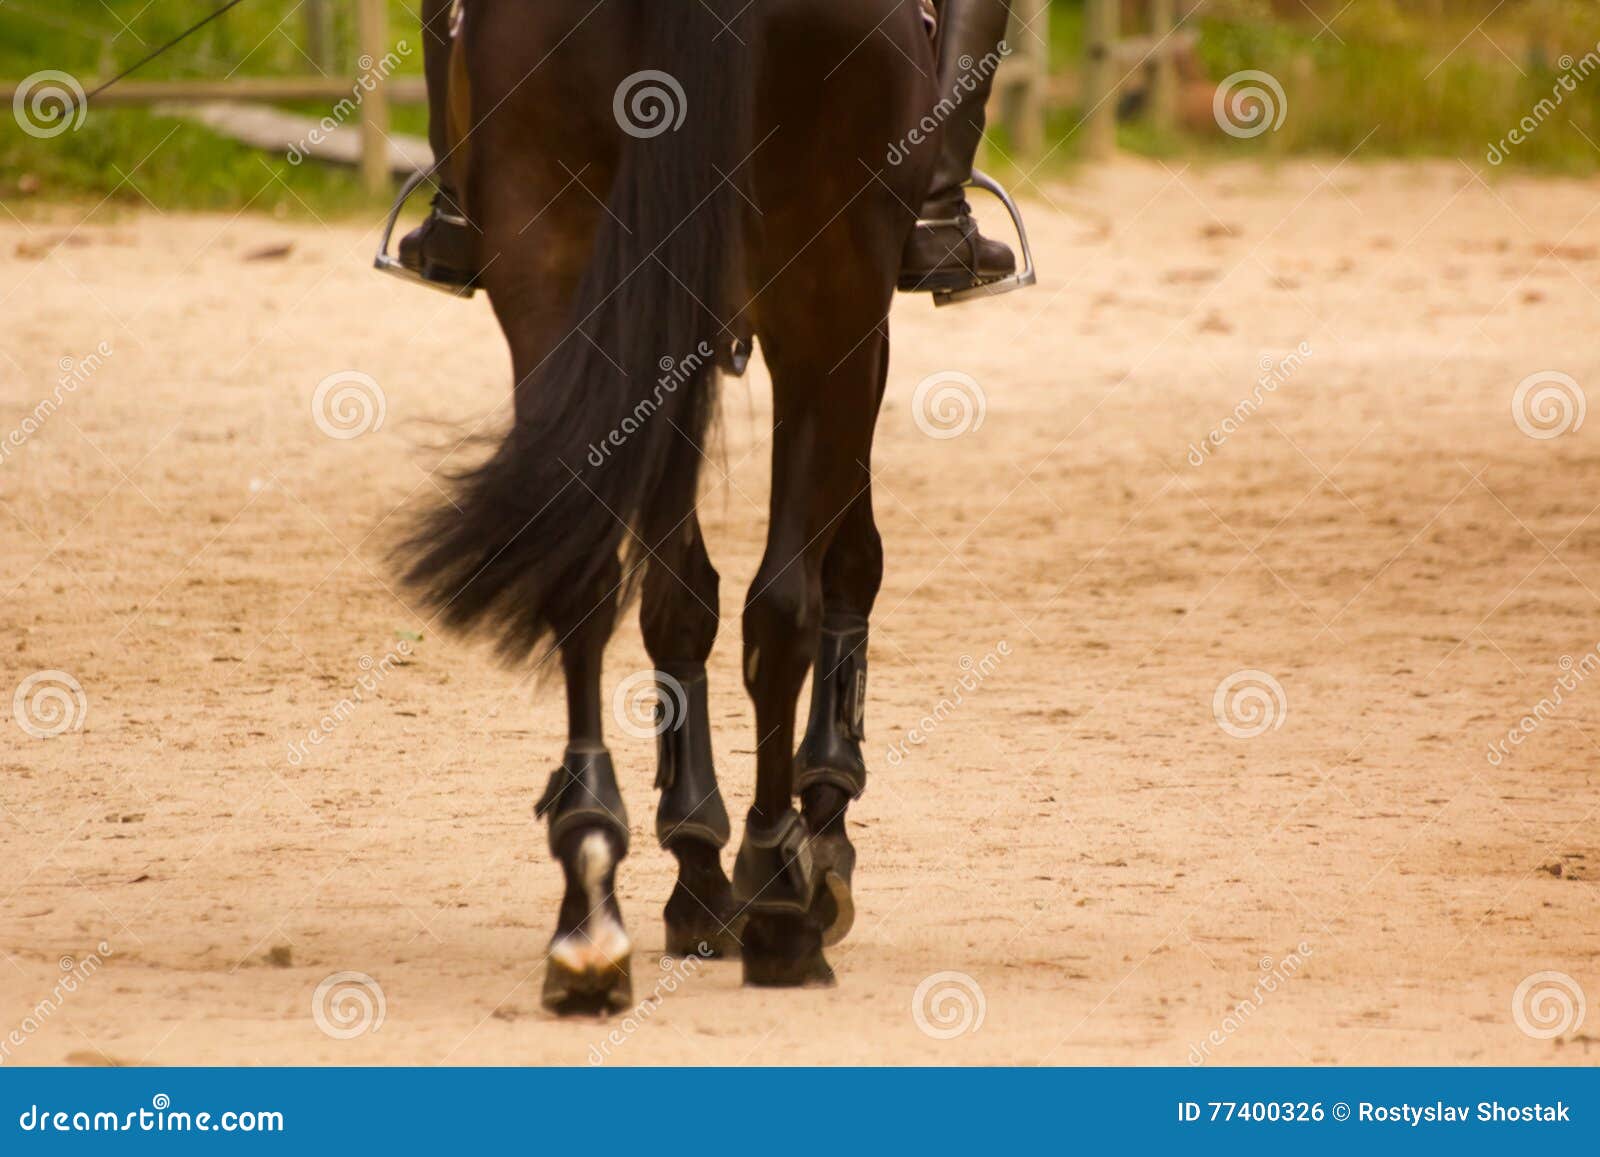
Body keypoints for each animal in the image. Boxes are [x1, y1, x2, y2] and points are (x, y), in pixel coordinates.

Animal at [397, 0, 938, 1013]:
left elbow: (676, 597)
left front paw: (697, 860)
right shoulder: (854, 312)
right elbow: (842, 554)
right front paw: (821, 820)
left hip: (554, 253)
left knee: (583, 572)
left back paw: (590, 910)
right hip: (828, 283)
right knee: (782, 602)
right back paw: (778, 896)